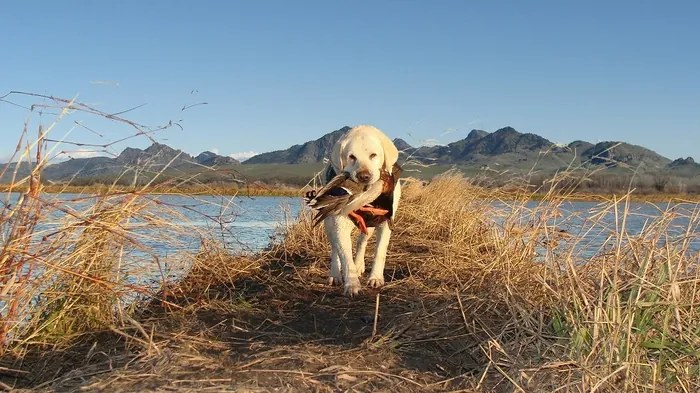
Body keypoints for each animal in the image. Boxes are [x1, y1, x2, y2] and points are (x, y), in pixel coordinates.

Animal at [322, 124, 400, 296]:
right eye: (351, 156)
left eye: (373, 155)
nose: (364, 176)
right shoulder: (339, 224)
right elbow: (345, 256)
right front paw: (351, 284)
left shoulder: (385, 223)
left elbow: (380, 252)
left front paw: (376, 278)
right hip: (329, 225)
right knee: (335, 249)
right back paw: (335, 274)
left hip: (369, 227)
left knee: (361, 242)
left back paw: (359, 265)